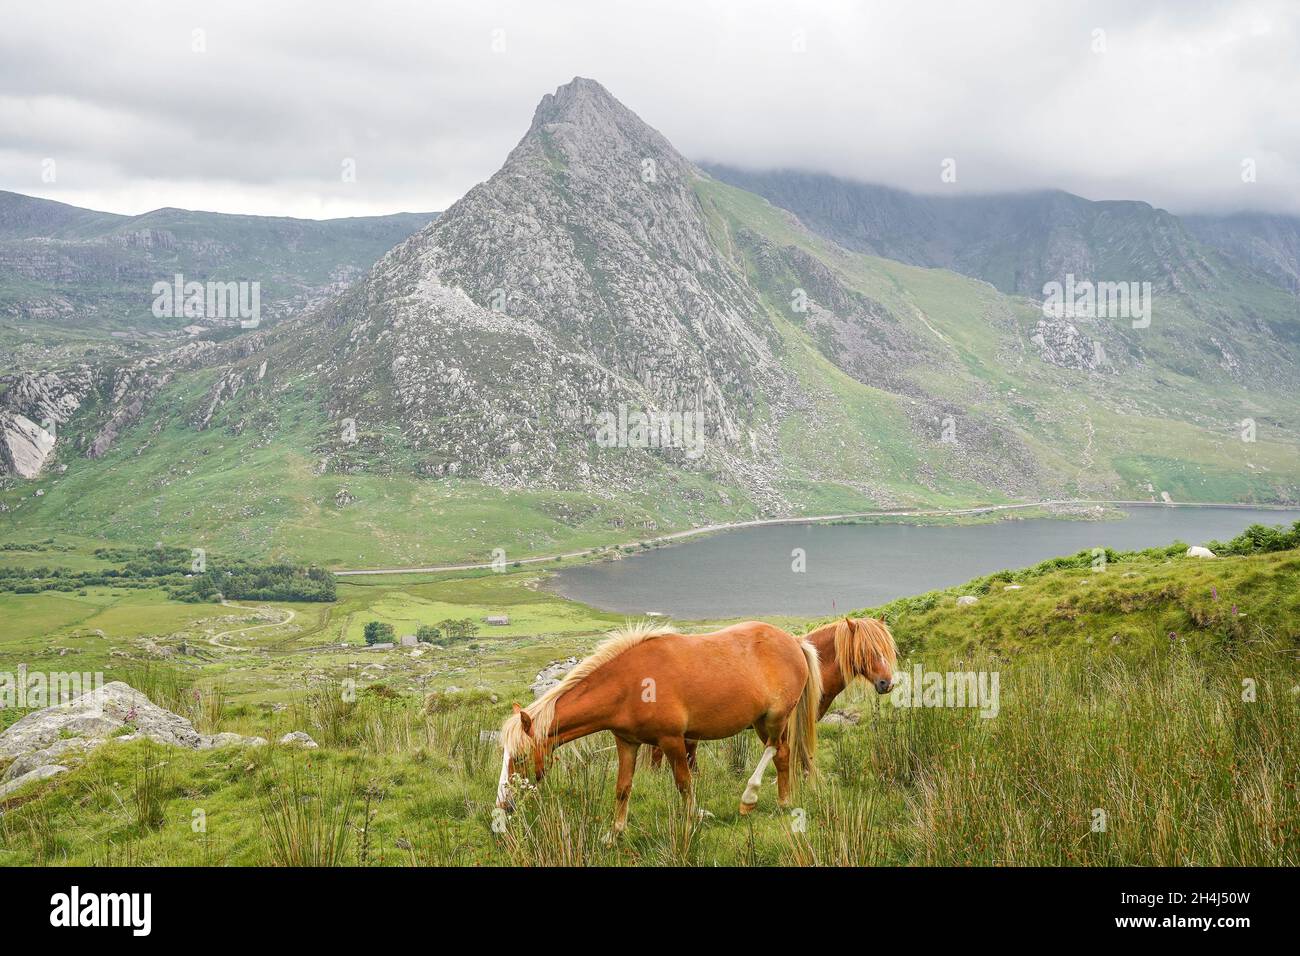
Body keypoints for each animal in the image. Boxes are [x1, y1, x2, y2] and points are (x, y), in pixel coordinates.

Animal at [496, 620, 822, 836]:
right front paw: (615, 833)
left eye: (521, 758)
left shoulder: (671, 740)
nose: (505, 805)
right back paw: (783, 802)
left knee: (773, 749)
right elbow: (623, 788)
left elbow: (684, 783)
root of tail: (794, 642)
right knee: (783, 753)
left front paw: (693, 818)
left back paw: (749, 799)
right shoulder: (626, 743)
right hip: (759, 721)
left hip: (775, 718)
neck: (630, 685)